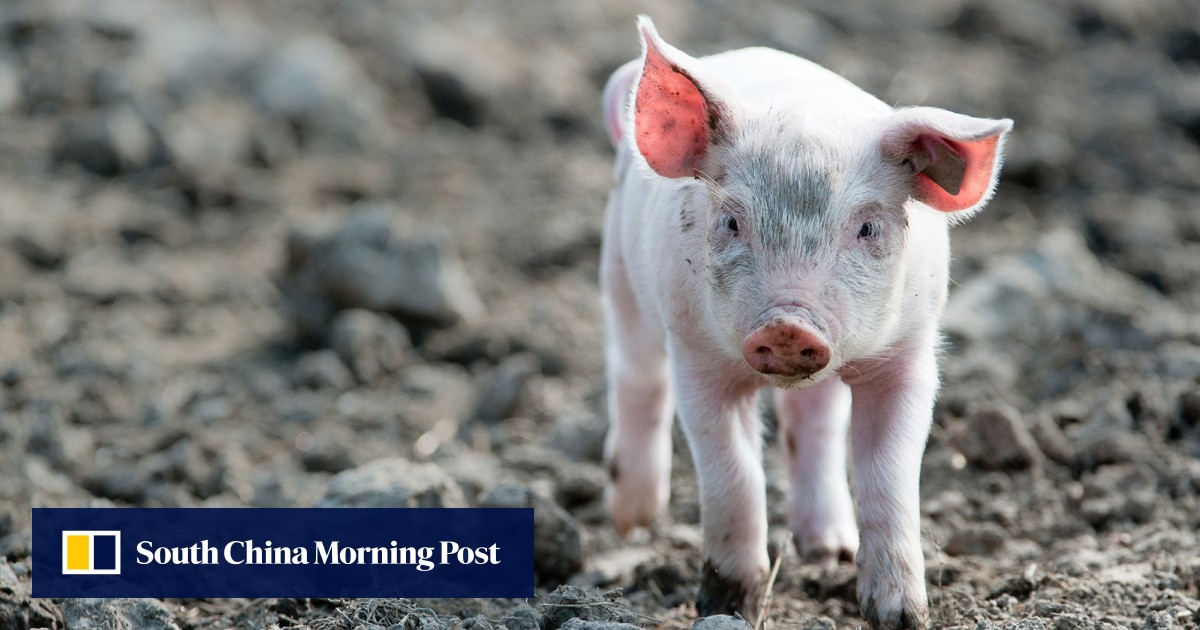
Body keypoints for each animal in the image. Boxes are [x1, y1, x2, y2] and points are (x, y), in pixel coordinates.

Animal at [599, 16, 1012, 630]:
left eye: (867, 228)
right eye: (731, 221)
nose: (788, 326)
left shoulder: (909, 354)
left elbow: (888, 471)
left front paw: (901, 617)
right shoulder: (696, 354)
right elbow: (733, 473)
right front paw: (727, 609)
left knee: (814, 420)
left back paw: (828, 550)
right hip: (621, 278)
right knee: (636, 378)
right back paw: (633, 519)